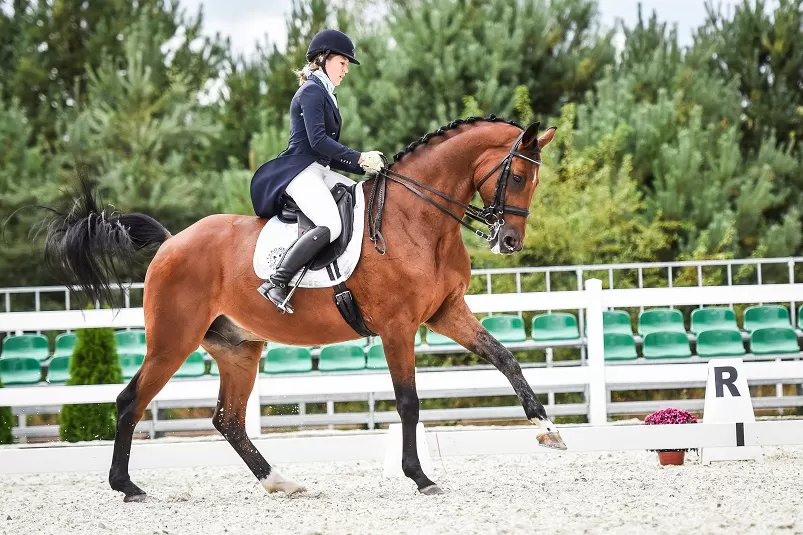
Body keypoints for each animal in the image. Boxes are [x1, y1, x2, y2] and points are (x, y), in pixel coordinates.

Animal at [39, 114, 564, 502]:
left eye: (535, 181)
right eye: (518, 176)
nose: (510, 241)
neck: (416, 219)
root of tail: (171, 242)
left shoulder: (446, 312)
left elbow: (505, 358)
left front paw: (546, 429)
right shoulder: (397, 327)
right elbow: (408, 402)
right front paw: (420, 477)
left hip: (238, 349)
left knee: (228, 419)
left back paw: (280, 482)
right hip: (172, 341)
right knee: (131, 400)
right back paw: (127, 486)